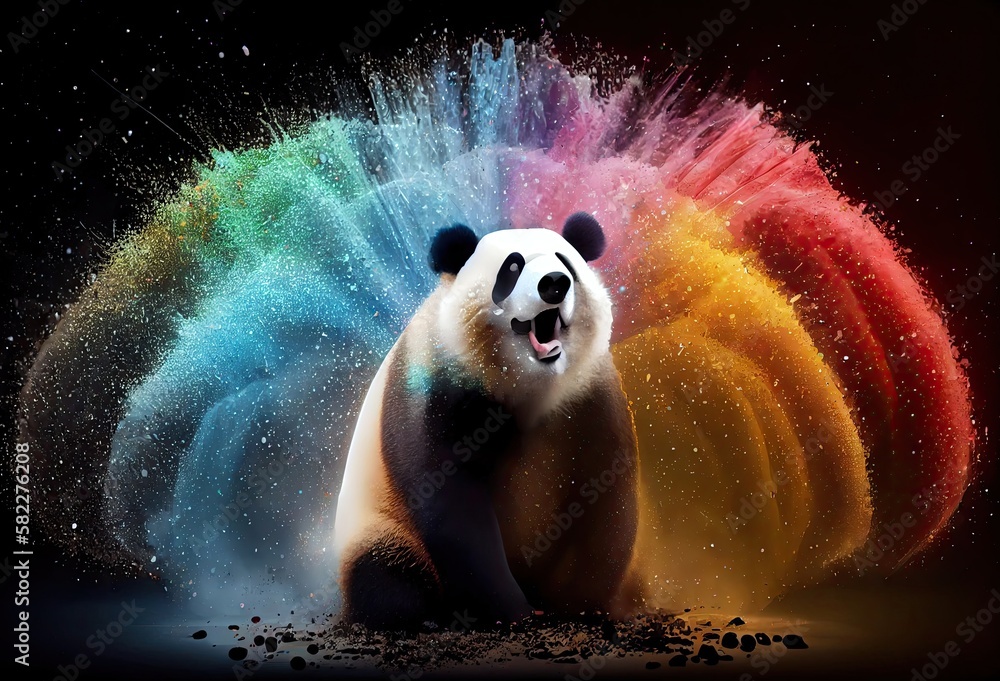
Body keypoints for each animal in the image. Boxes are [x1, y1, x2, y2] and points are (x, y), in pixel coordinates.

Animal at [333, 212, 639, 628]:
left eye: (566, 262)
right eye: (512, 267)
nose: (554, 283)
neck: (531, 384)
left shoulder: (590, 396)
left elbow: (606, 494)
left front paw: (581, 607)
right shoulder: (437, 387)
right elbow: (451, 503)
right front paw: (514, 614)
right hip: (379, 523)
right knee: (385, 575)